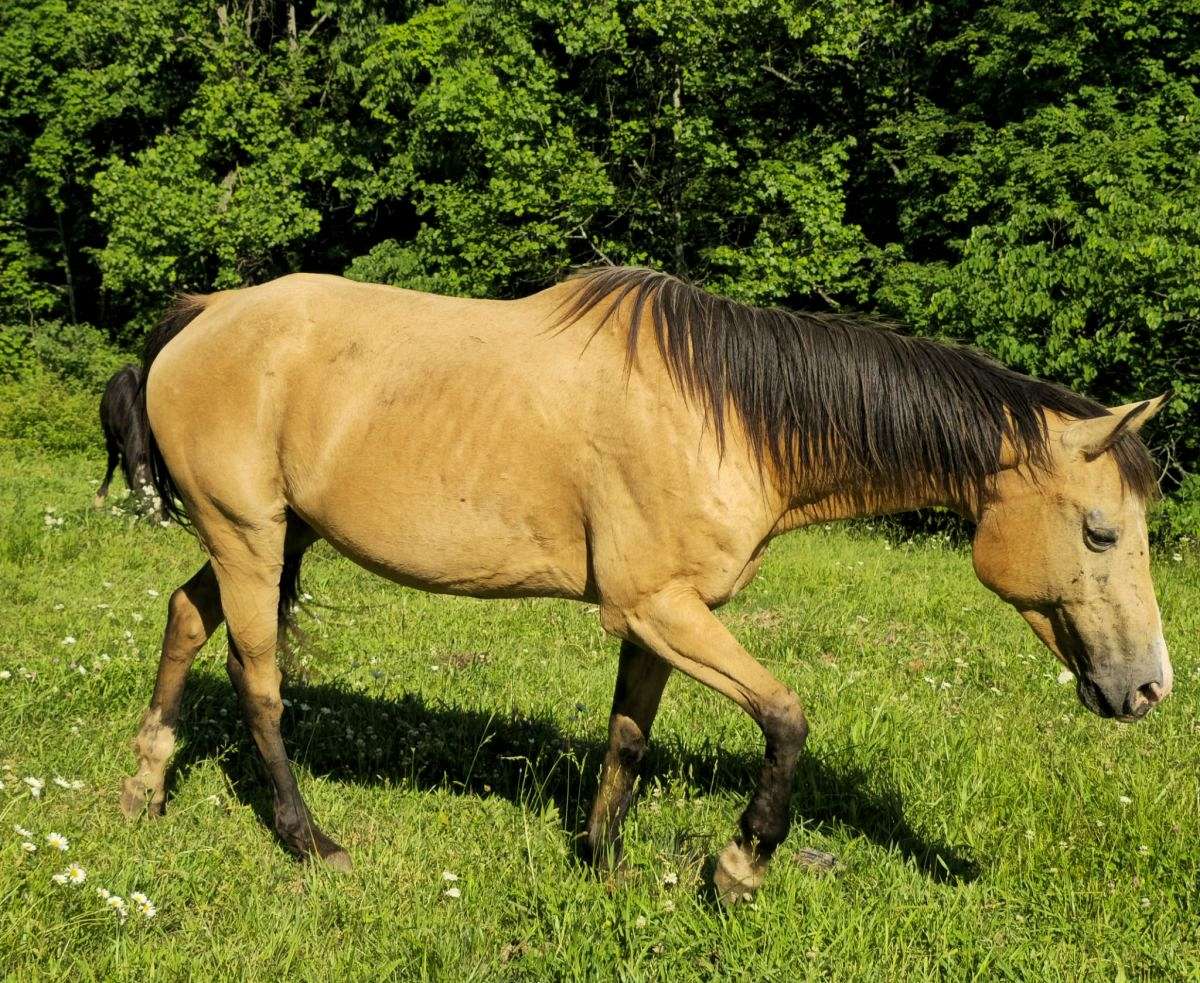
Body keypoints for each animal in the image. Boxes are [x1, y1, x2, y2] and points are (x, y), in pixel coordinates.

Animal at [119, 267, 1171, 902]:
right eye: (1101, 529)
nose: (1149, 687)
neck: (730, 415)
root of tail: (206, 314)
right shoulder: (660, 609)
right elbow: (786, 717)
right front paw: (739, 864)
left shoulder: (662, 619)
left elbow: (629, 733)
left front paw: (603, 859)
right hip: (250, 537)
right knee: (258, 682)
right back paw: (310, 839)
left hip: (264, 537)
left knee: (184, 618)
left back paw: (146, 784)